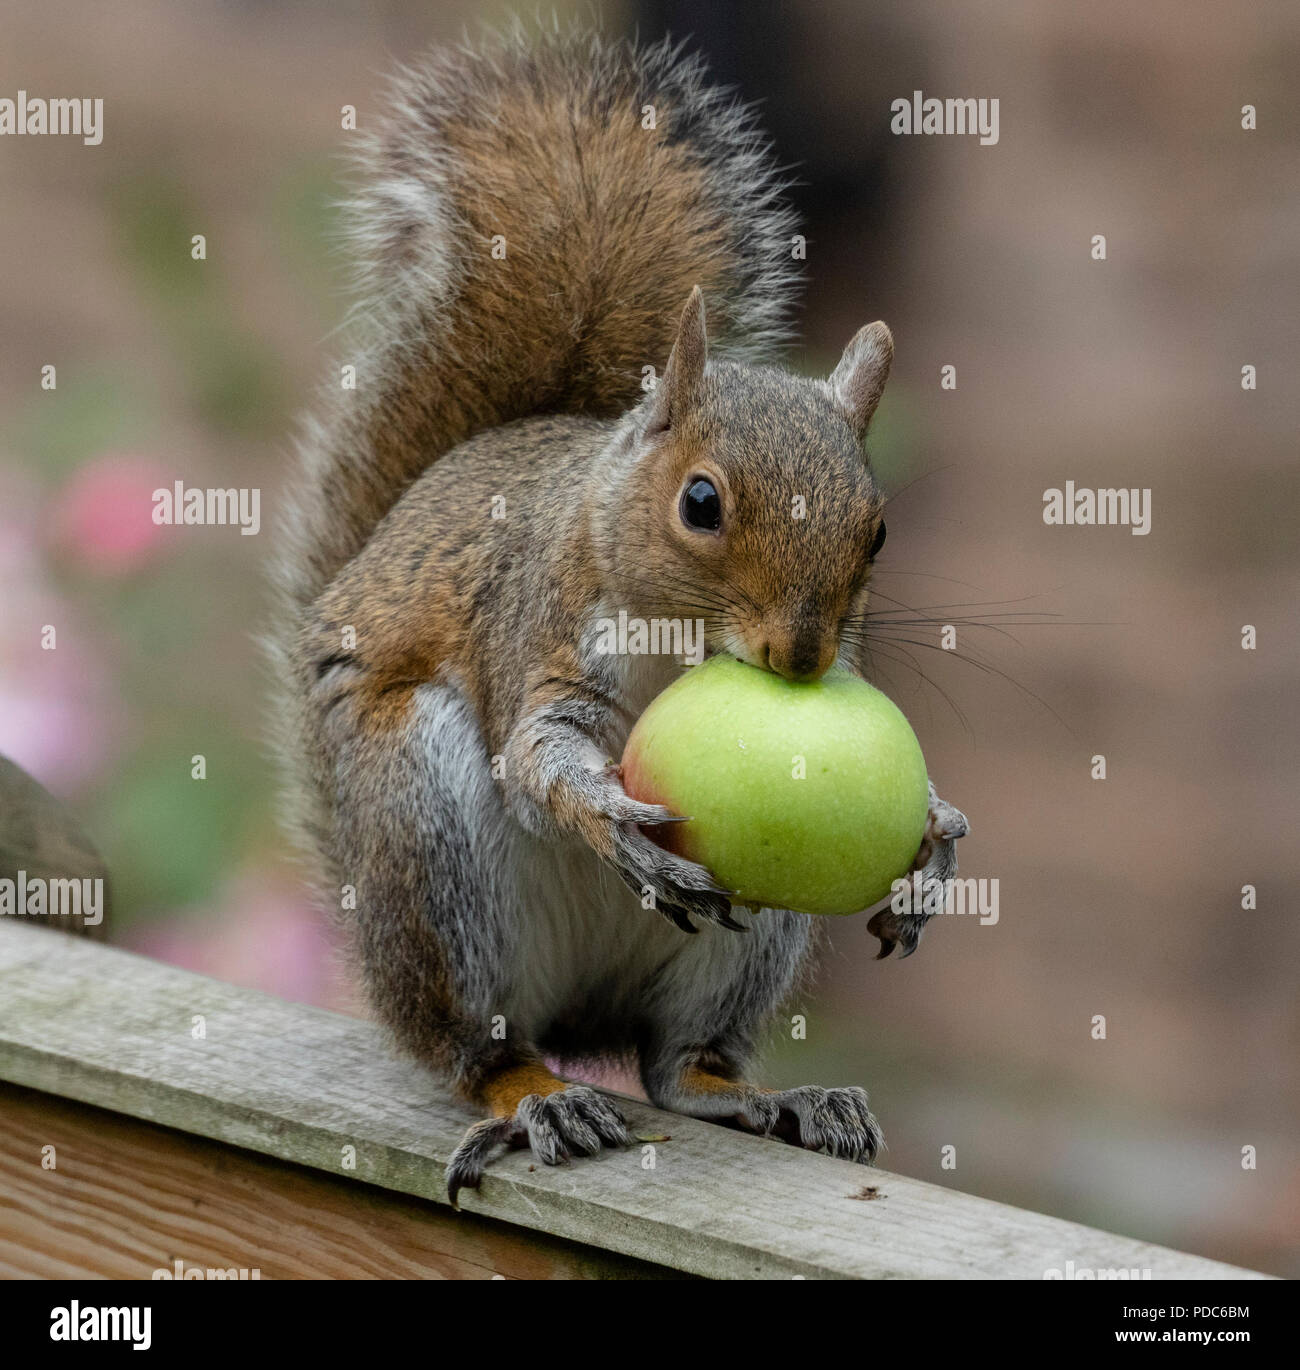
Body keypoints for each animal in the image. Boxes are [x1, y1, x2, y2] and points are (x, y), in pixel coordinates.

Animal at [269, 26, 968, 1204]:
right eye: (701, 503)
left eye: (878, 531)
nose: (801, 653)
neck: (683, 646)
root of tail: (577, 1020)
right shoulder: (539, 630)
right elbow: (538, 756)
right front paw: (610, 817)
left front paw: (934, 839)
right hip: (421, 831)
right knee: (474, 1045)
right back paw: (534, 1097)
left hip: (742, 946)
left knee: (676, 1064)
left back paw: (767, 1096)